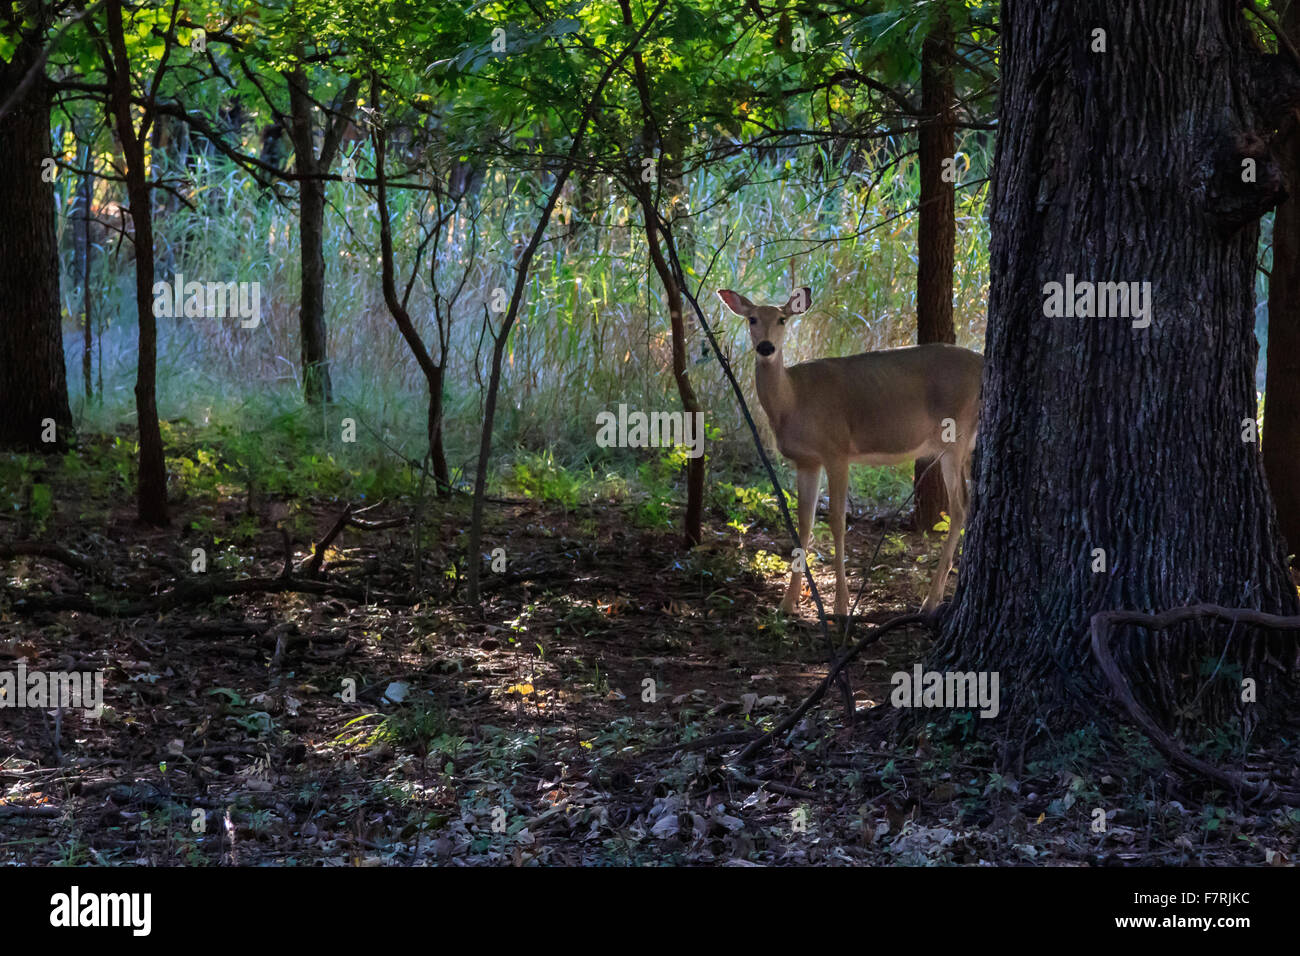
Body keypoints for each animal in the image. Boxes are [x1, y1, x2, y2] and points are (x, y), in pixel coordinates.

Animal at [717, 287, 983, 617]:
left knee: (959, 507)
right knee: (970, 503)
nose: (766, 347)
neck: (793, 400)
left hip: (956, 436)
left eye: (782, 319)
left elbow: (837, 523)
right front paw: (787, 603)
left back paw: (930, 601)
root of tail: (984, 363)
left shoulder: (837, 450)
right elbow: (803, 524)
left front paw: (841, 606)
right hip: (965, 445)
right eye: (752, 318)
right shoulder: (806, 461)